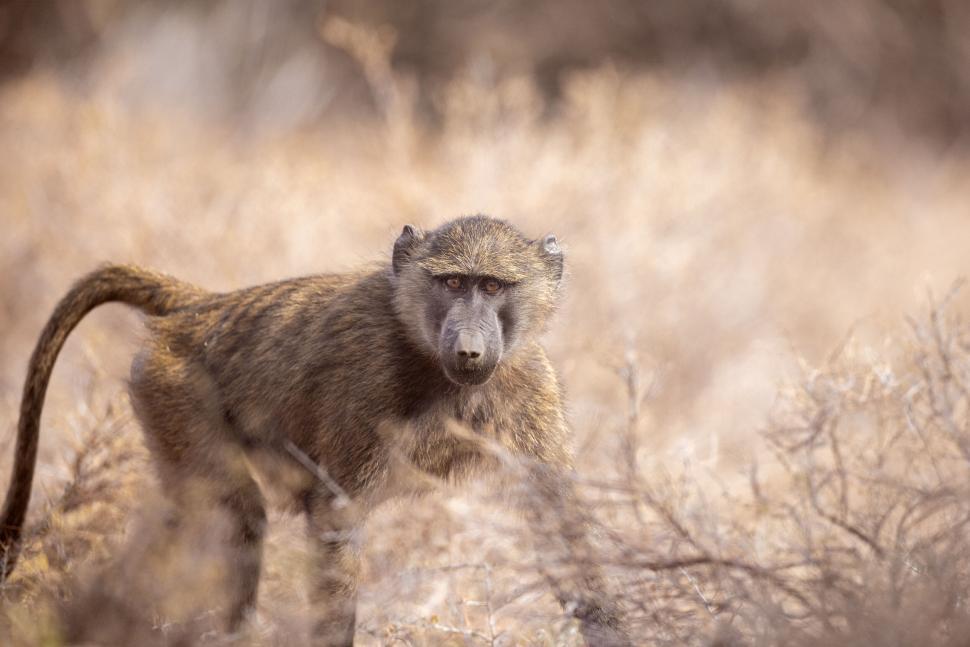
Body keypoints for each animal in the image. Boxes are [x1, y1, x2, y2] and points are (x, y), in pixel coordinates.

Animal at [0, 215, 630, 646]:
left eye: (494, 287)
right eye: (452, 284)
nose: (470, 350)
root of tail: (203, 307)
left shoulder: (530, 391)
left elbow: (559, 526)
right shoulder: (366, 381)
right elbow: (335, 519)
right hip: (172, 390)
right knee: (236, 516)